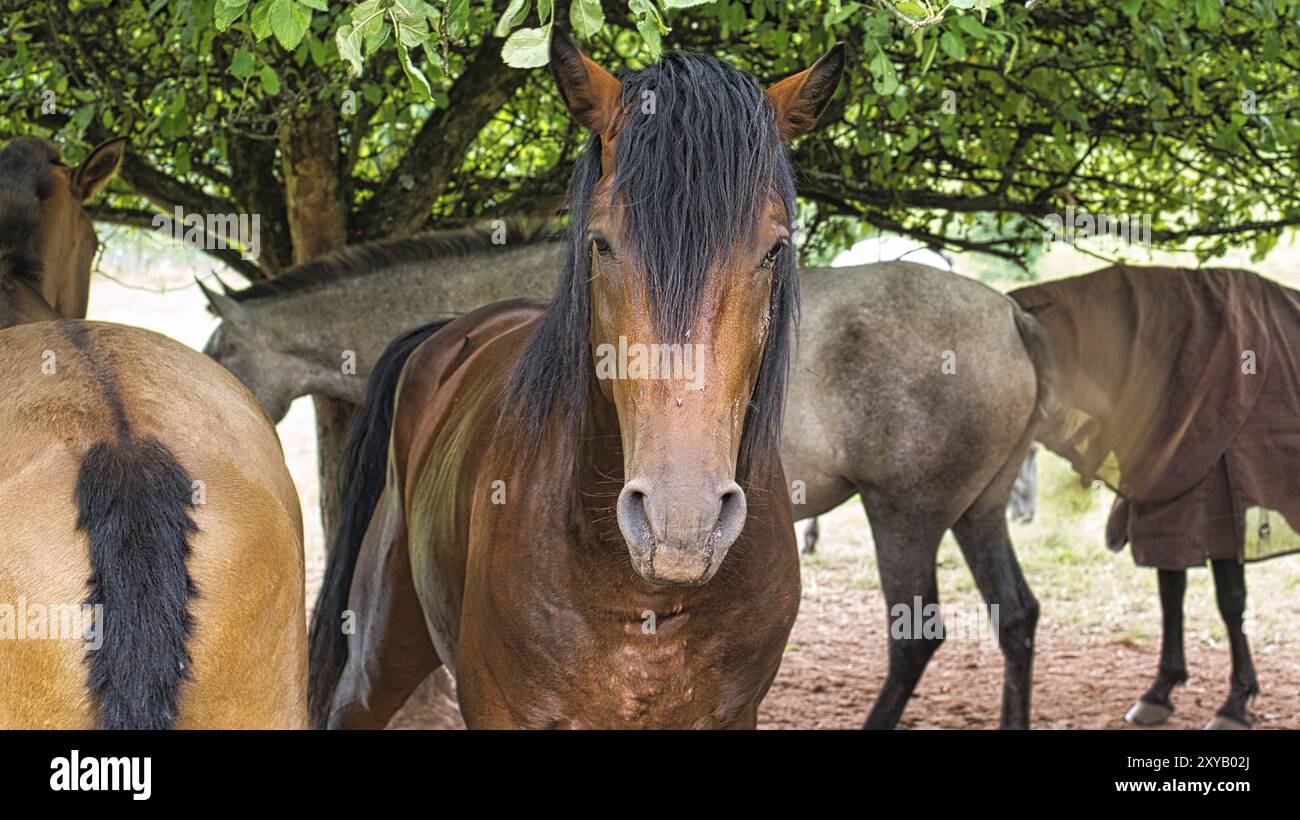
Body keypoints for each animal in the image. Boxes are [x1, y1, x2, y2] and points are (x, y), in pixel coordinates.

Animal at [1012, 264, 1300, 729]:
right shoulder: (1165, 510)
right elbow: (1171, 592)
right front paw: (1161, 690)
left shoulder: (1222, 516)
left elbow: (1230, 601)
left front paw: (1236, 702)